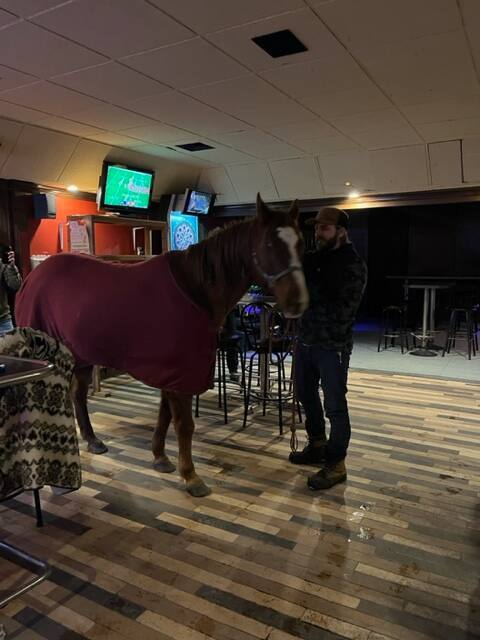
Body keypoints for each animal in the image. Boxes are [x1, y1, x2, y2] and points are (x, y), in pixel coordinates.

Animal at [15, 194, 308, 497]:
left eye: (300, 243)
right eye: (269, 244)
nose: (298, 303)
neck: (194, 290)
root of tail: (33, 276)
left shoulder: (173, 373)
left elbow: (165, 416)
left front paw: (160, 457)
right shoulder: (180, 373)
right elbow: (184, 424)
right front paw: (191, 476)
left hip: (81, 355)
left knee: (78, 396)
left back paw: (92, 440)